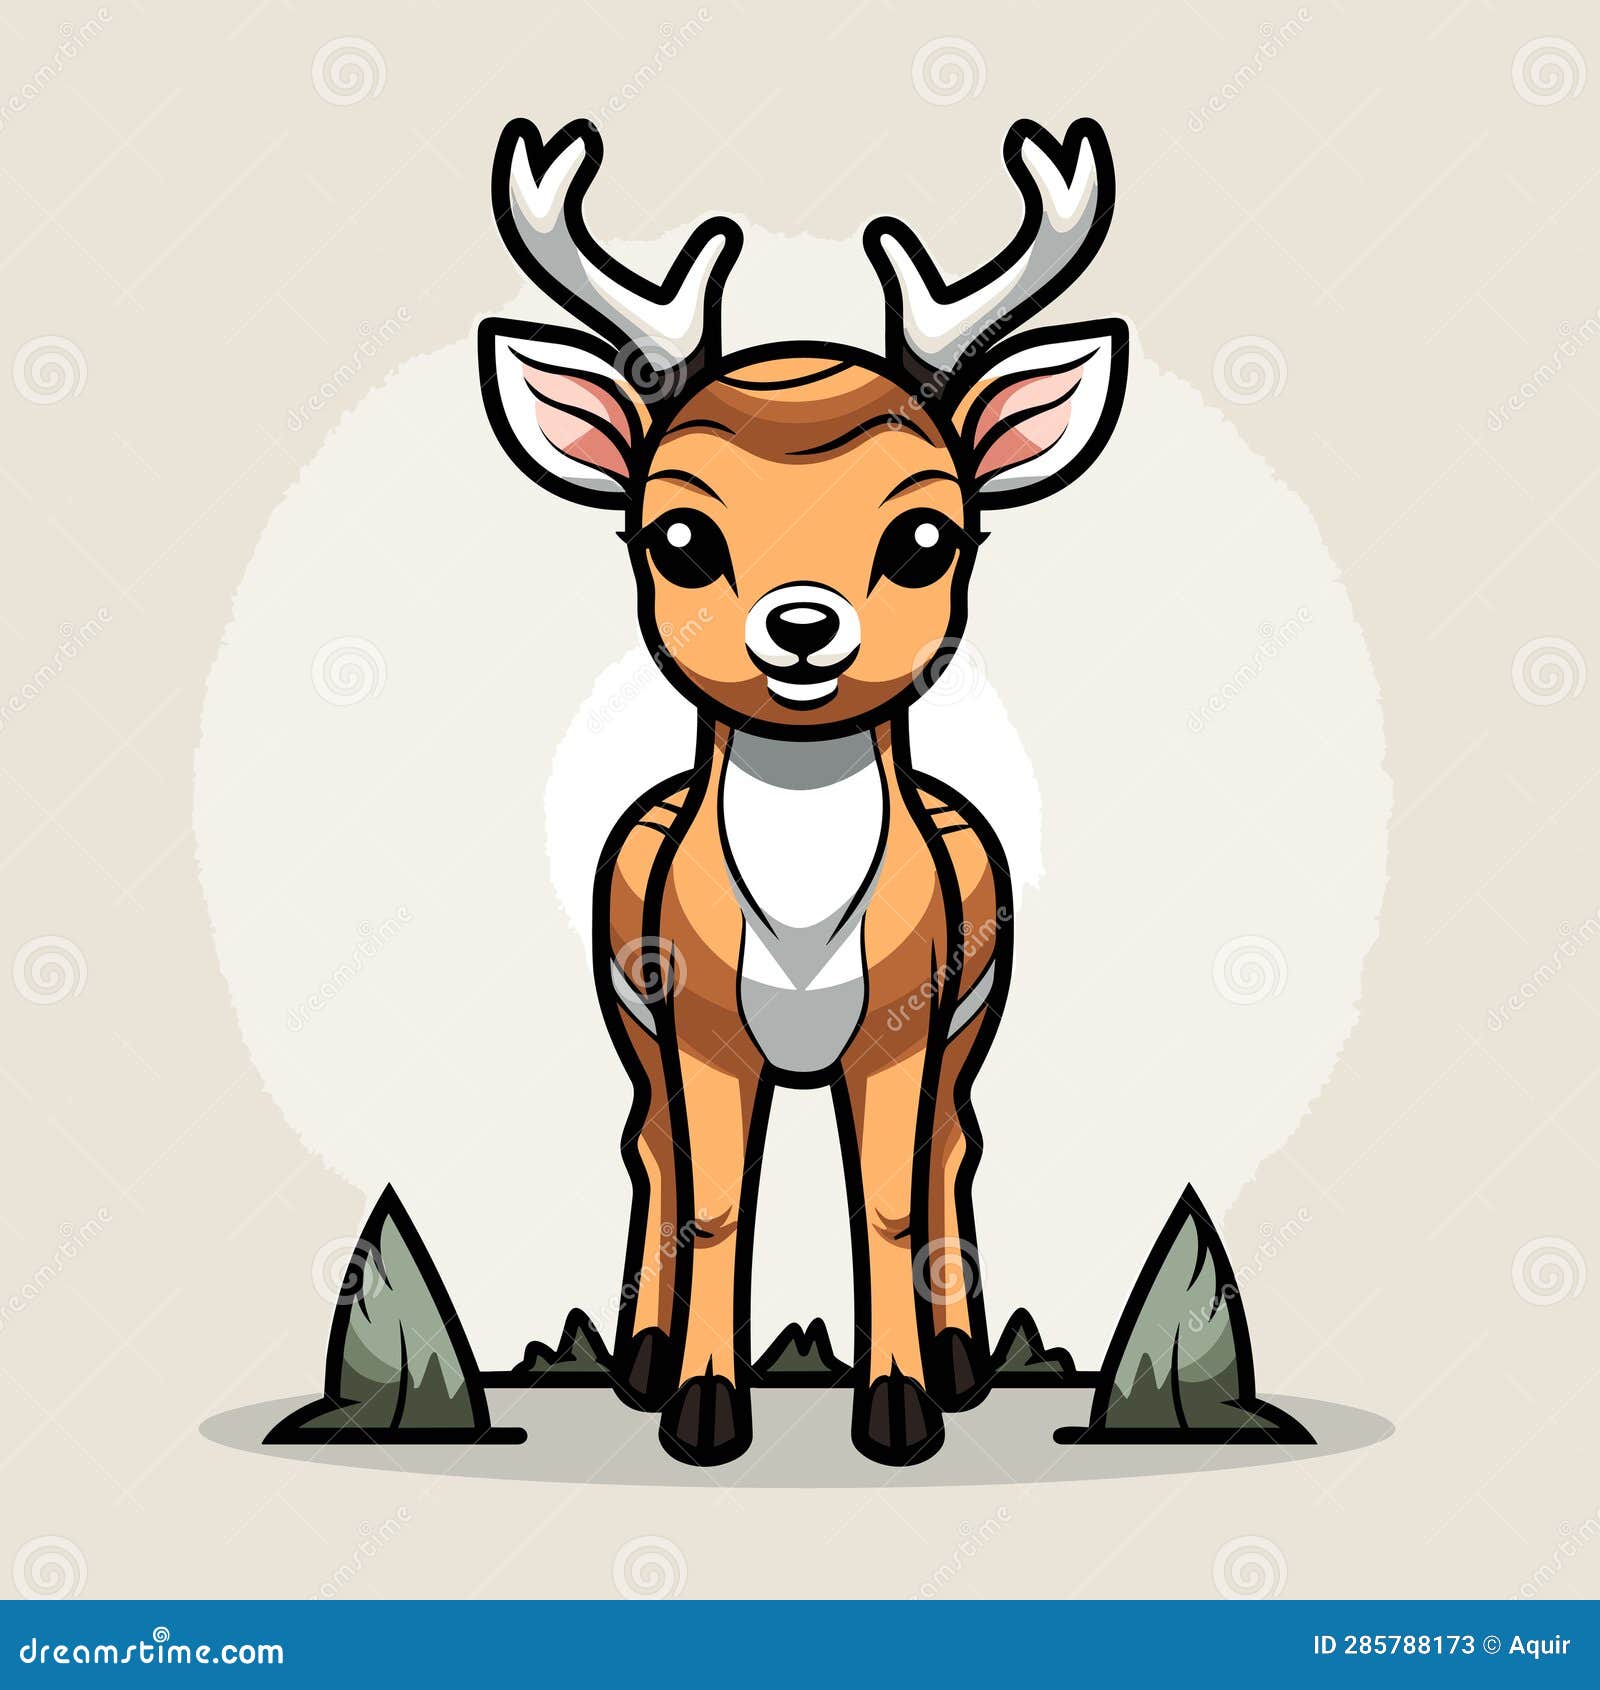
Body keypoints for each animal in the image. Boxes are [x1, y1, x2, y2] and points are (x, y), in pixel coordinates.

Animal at [478, 115, 1127, 1467]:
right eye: (675, 535)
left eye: (928, 535)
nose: (802, 626)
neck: (799, 925)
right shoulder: (701, 1027)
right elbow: (716, 1201)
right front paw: (701, 1410)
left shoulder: (904, 1025)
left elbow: (886, 1202)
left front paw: (900, 1410)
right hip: (629, 1012)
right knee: (649, 1149)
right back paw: (639, 1359)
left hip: (975, 1013)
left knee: (954, 1147)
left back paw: (962, 1361)